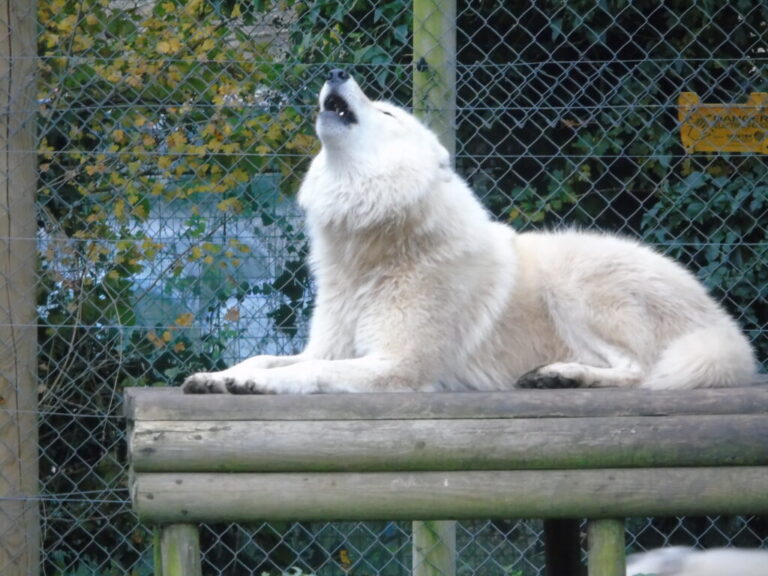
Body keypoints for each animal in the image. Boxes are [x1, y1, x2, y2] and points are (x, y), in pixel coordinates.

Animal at [182, 69, 758, 395]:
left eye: (386, 110)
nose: (335, 71)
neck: (374, 253)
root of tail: (723, 325)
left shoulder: (395, 366)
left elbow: (300, 374)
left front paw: (252, 382)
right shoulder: (327, 347)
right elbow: (269, 355)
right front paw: (219, 376)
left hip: (577, 286)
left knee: (642, 372)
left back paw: (563, 375)